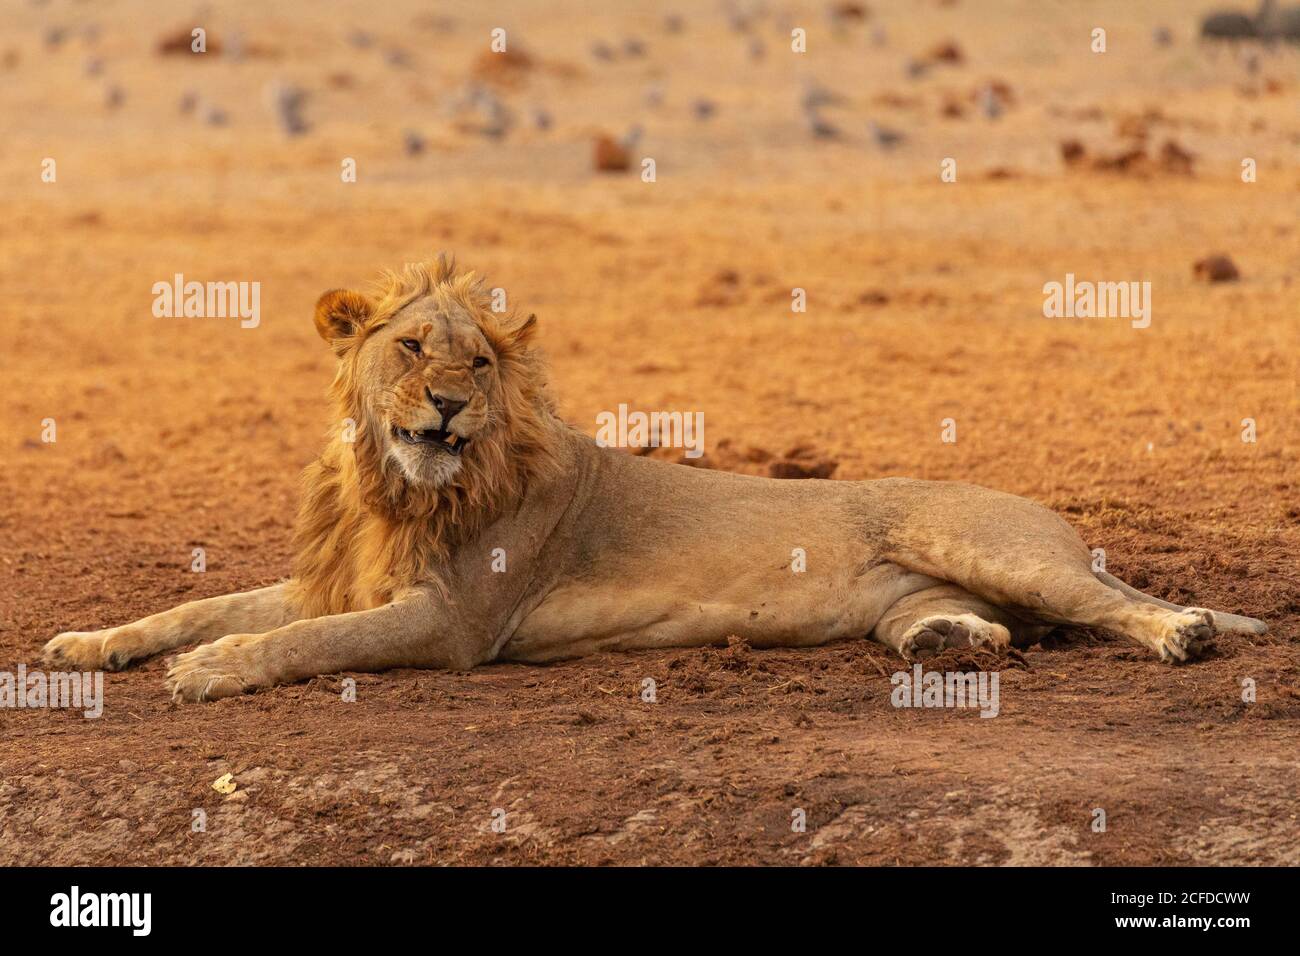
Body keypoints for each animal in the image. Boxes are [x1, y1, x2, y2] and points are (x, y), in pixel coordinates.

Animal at [43, 255, 1268, 702]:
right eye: (411, 347)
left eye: (477, 363)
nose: (446, 407)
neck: (396, 487)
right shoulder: (340, 579)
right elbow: (202, 602)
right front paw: (85, 645)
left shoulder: (452, 622)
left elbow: (304, 641)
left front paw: (210, 672)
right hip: (929, 597)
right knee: (1002, 628)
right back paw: (951, 644)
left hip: (989, 541)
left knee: (1114, 602)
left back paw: (1183, 634)